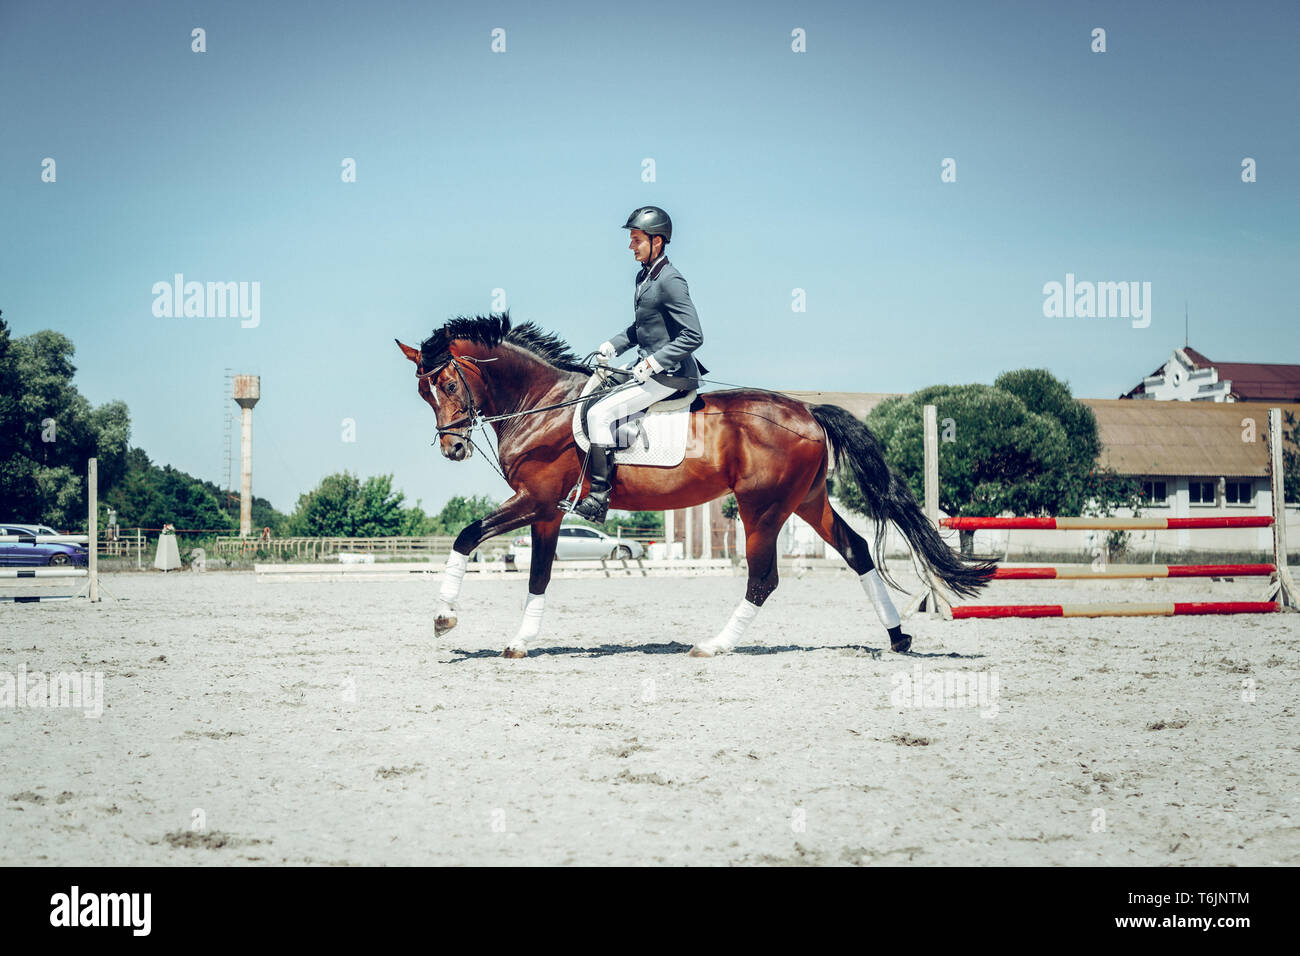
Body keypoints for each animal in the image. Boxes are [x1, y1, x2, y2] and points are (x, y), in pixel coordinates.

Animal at [397, 313, 993, 658]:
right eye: (426, 393)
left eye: (448, 383)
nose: (453, 449)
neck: (543, 406)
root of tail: (807, 411)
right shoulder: (547, 512)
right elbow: (538, 575)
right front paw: (520, 642)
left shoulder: (537, 501)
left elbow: (467, 537)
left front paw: (444, 618)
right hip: (806, 501)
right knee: (857, 550)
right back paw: (898, 638)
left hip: (761, 510)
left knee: (764, 578)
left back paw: (715, 646)